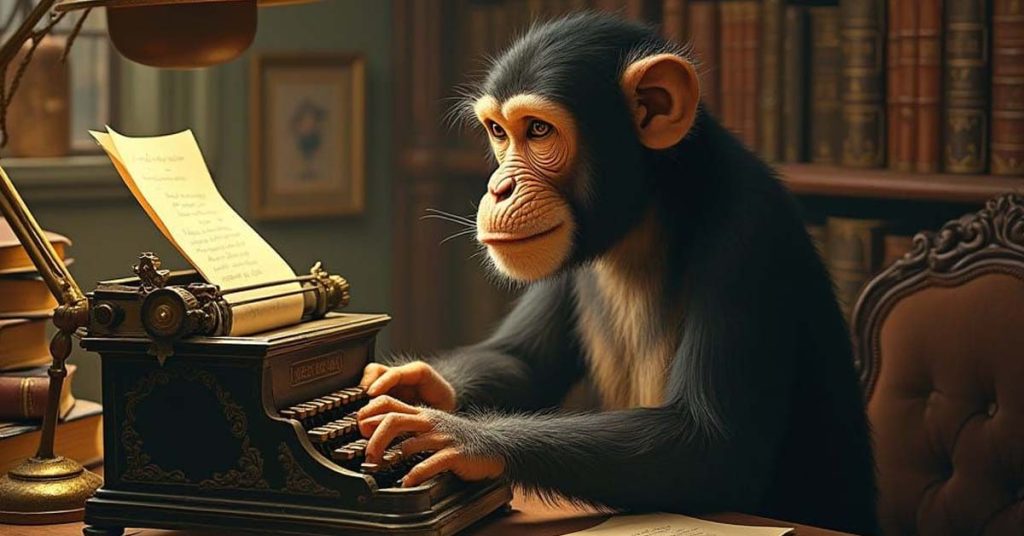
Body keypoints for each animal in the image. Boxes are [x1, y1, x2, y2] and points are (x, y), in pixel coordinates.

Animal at [357, 12, 877, 535]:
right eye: (499, 132)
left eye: (539, 130)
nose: (499, 187)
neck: (653, 209)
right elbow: (523, 359)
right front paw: (410, 383)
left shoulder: (747, 233)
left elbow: (713, 441)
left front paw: (460, 435)